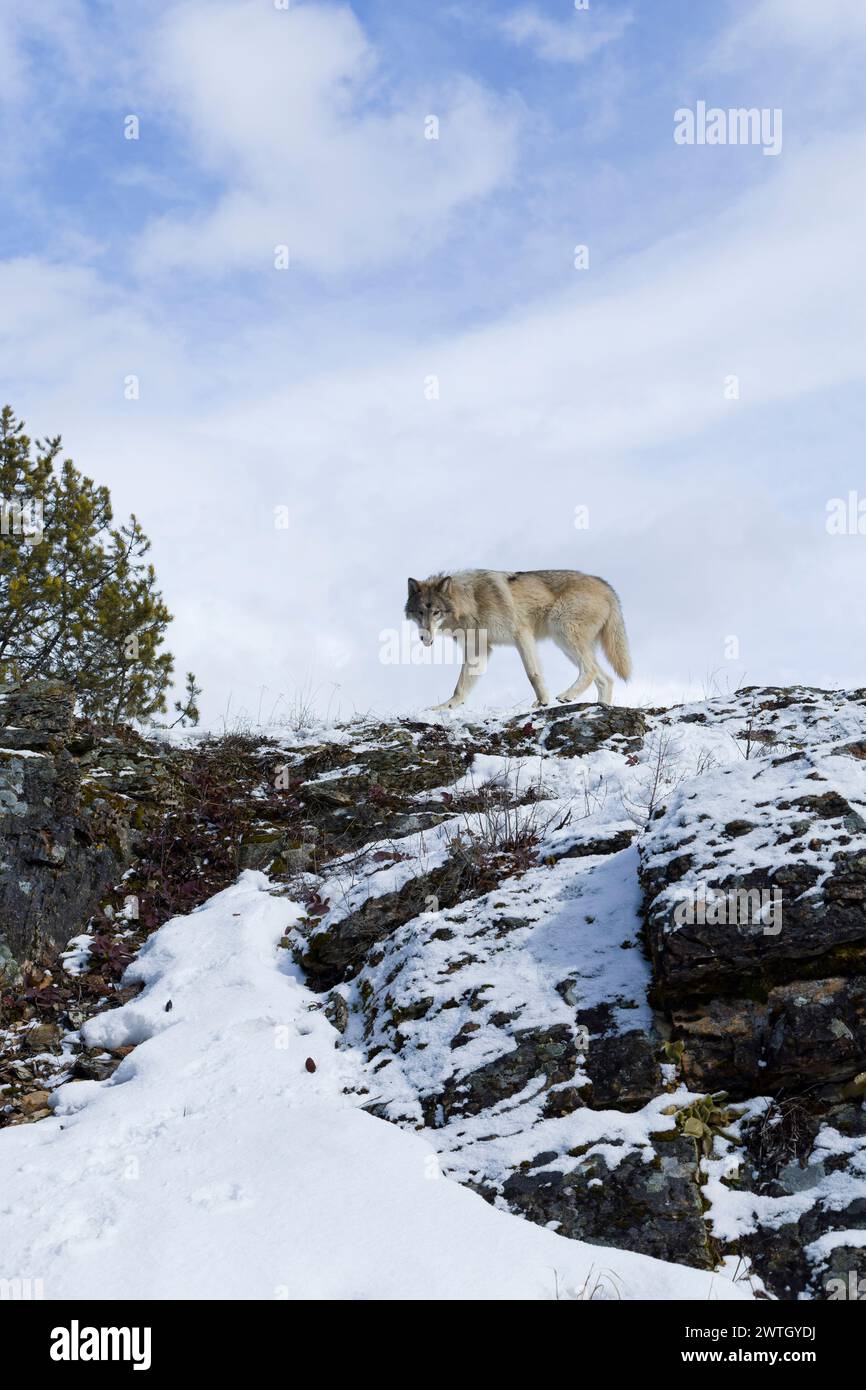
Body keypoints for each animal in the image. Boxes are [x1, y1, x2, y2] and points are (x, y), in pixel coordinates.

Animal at [405, 569, 631, 711]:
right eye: (419, 612)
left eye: (436, 612)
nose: (424, 637)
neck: (472, 601)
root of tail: (606, 586)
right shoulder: (478, 650)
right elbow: (460, 687)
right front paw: (446, 707)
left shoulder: (521, 633)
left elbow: (533, 673)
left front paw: (543, 701)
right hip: (566, 645)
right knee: (606, 679)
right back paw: (602, 707)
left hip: (562, 633)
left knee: (591, 669)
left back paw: (567, 695)